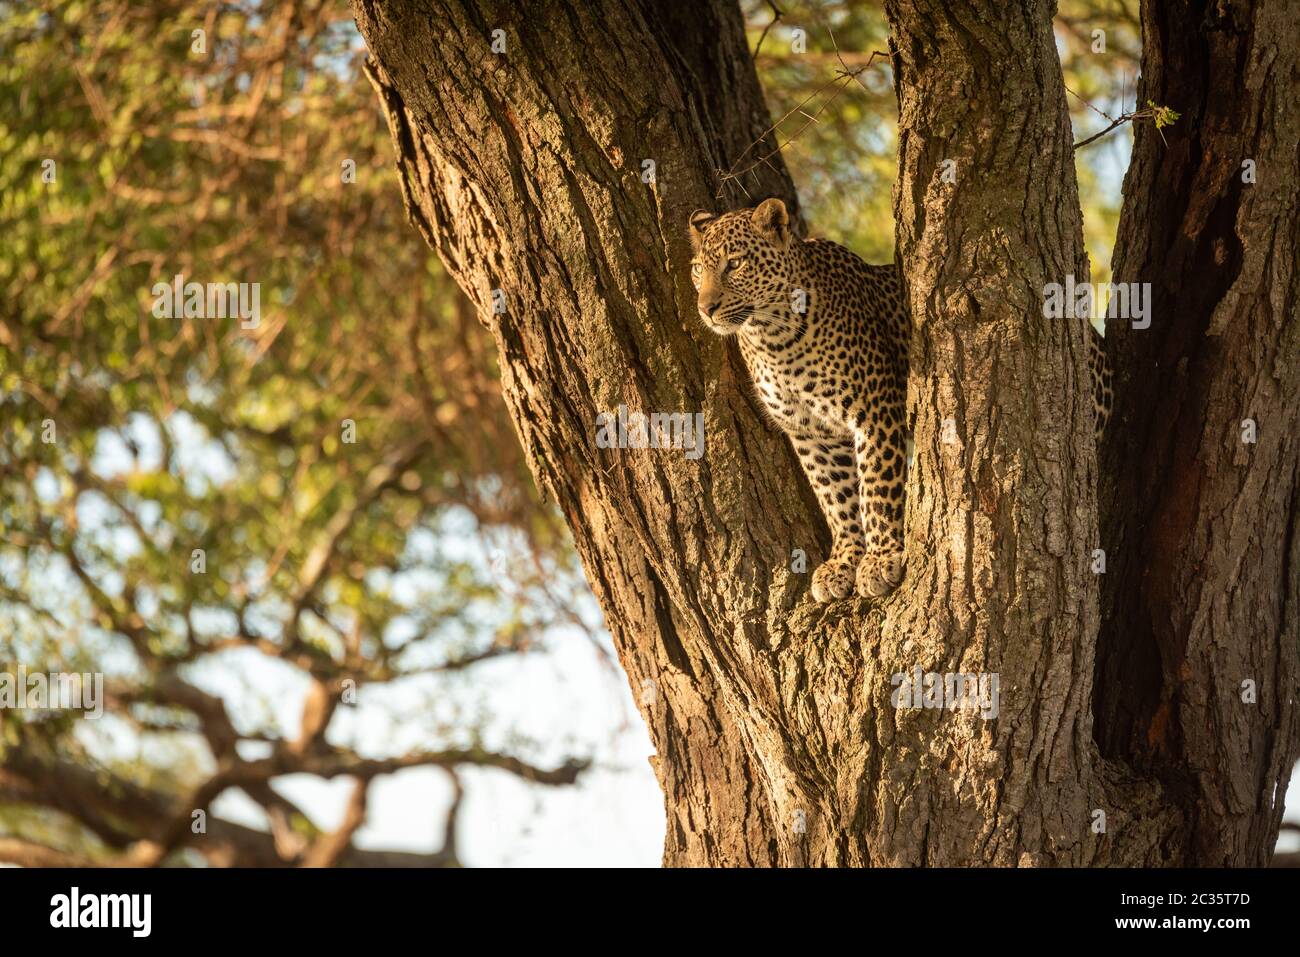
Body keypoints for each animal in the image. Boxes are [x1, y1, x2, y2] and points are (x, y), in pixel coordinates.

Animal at [688, 197, 1112, 602]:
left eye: (735, 263)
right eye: (697, 270)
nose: (705, 308)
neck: (772, 338)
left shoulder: (873, 409)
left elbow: (875, 488)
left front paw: (879, 560)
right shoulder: (811, 432)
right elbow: (836, 498)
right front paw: (844, 562)